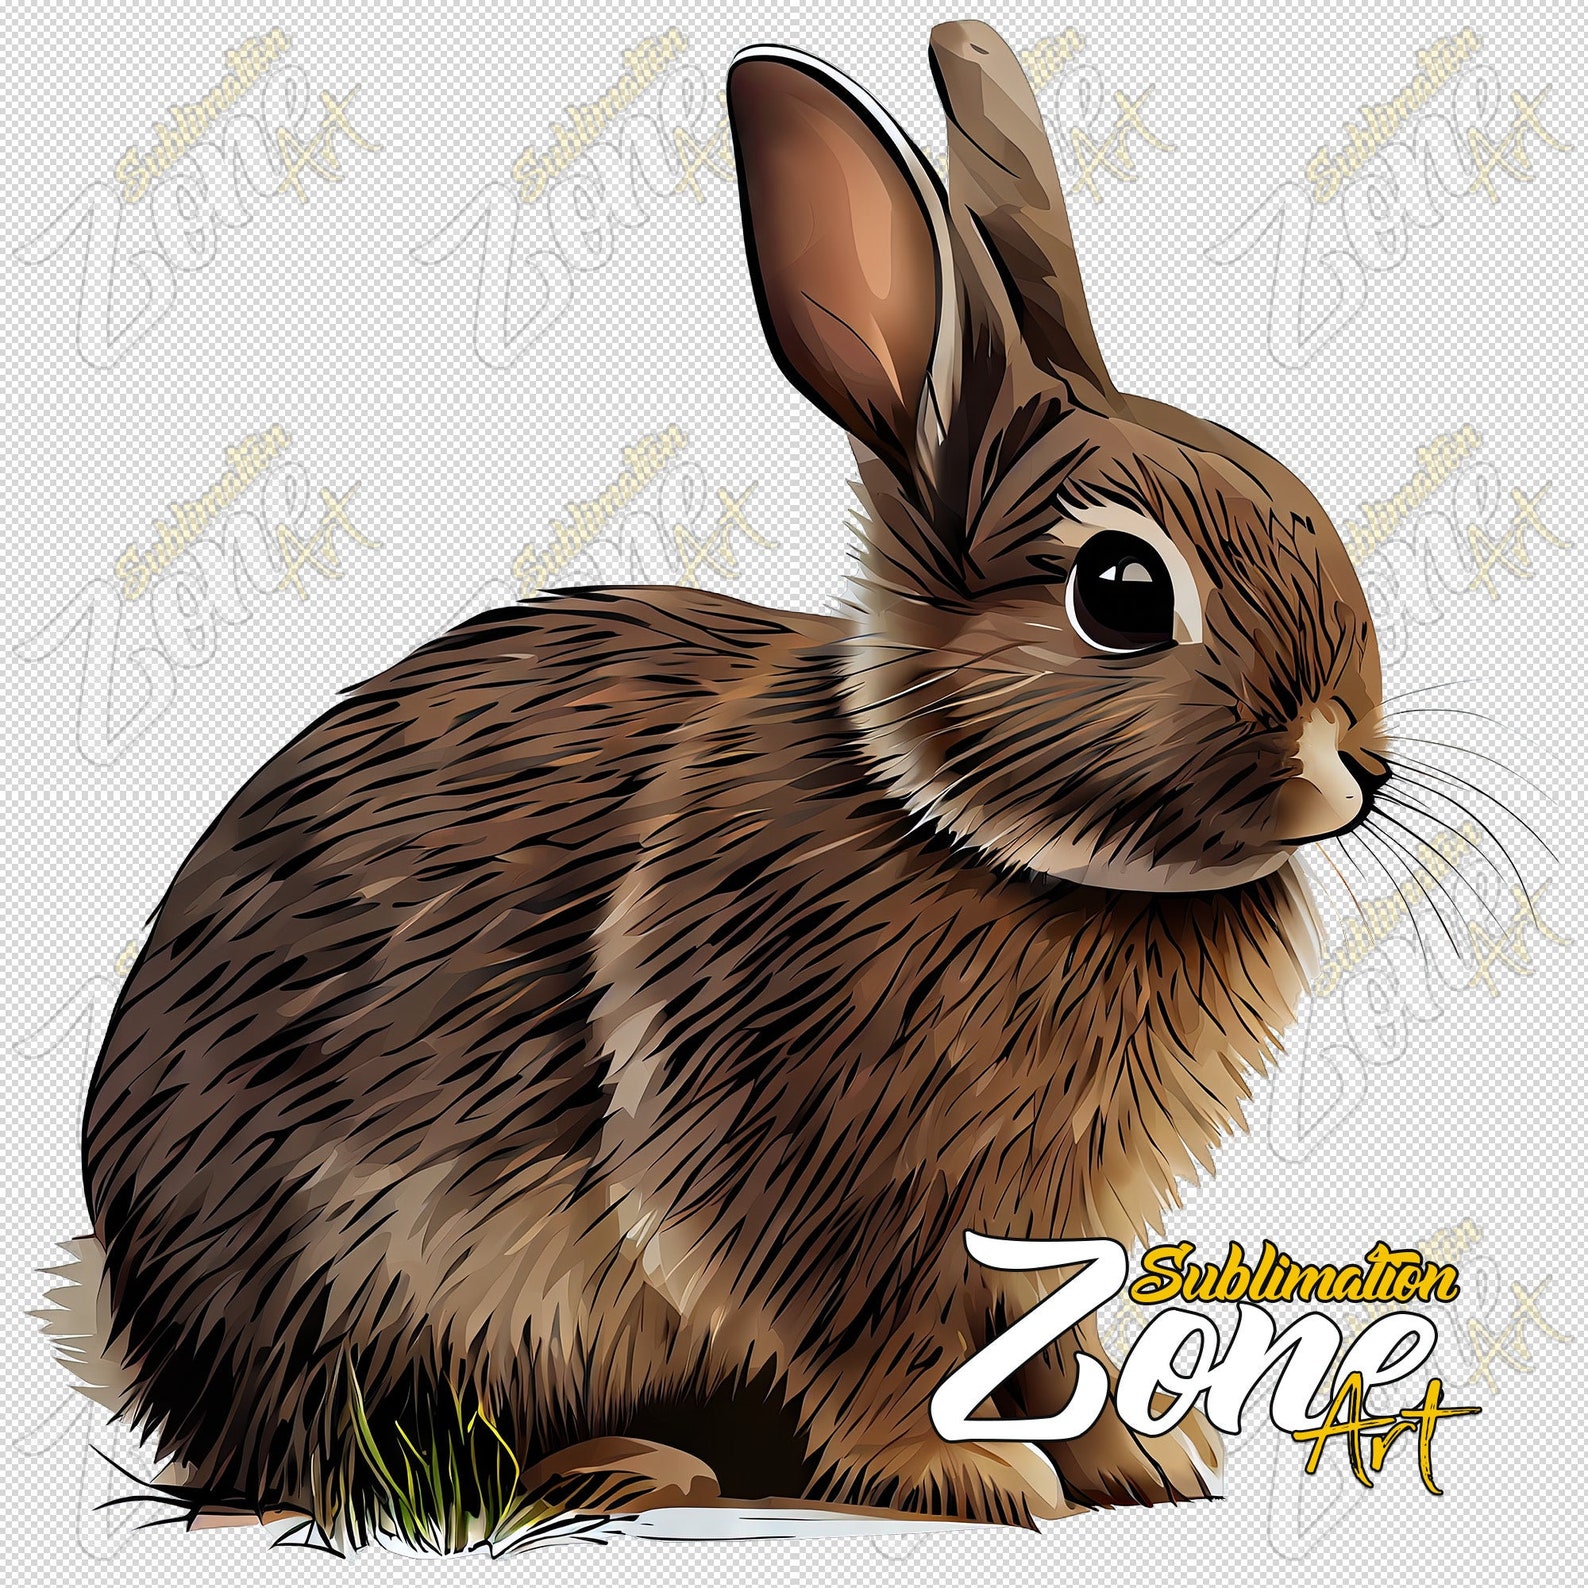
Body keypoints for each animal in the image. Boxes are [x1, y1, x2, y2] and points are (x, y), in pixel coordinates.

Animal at [43, 18, 1390, 1548]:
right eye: (1120, 590)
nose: (1358, 764)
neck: (974, 831)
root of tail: (145, 1333)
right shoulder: (826, 1181)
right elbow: (889, 1345)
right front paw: (975, 1481)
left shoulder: (1037, 1233)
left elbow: (1051, 1347)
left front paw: (1135, 1465)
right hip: (373, 1281)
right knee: (363, 1453)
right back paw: (617, 1465)